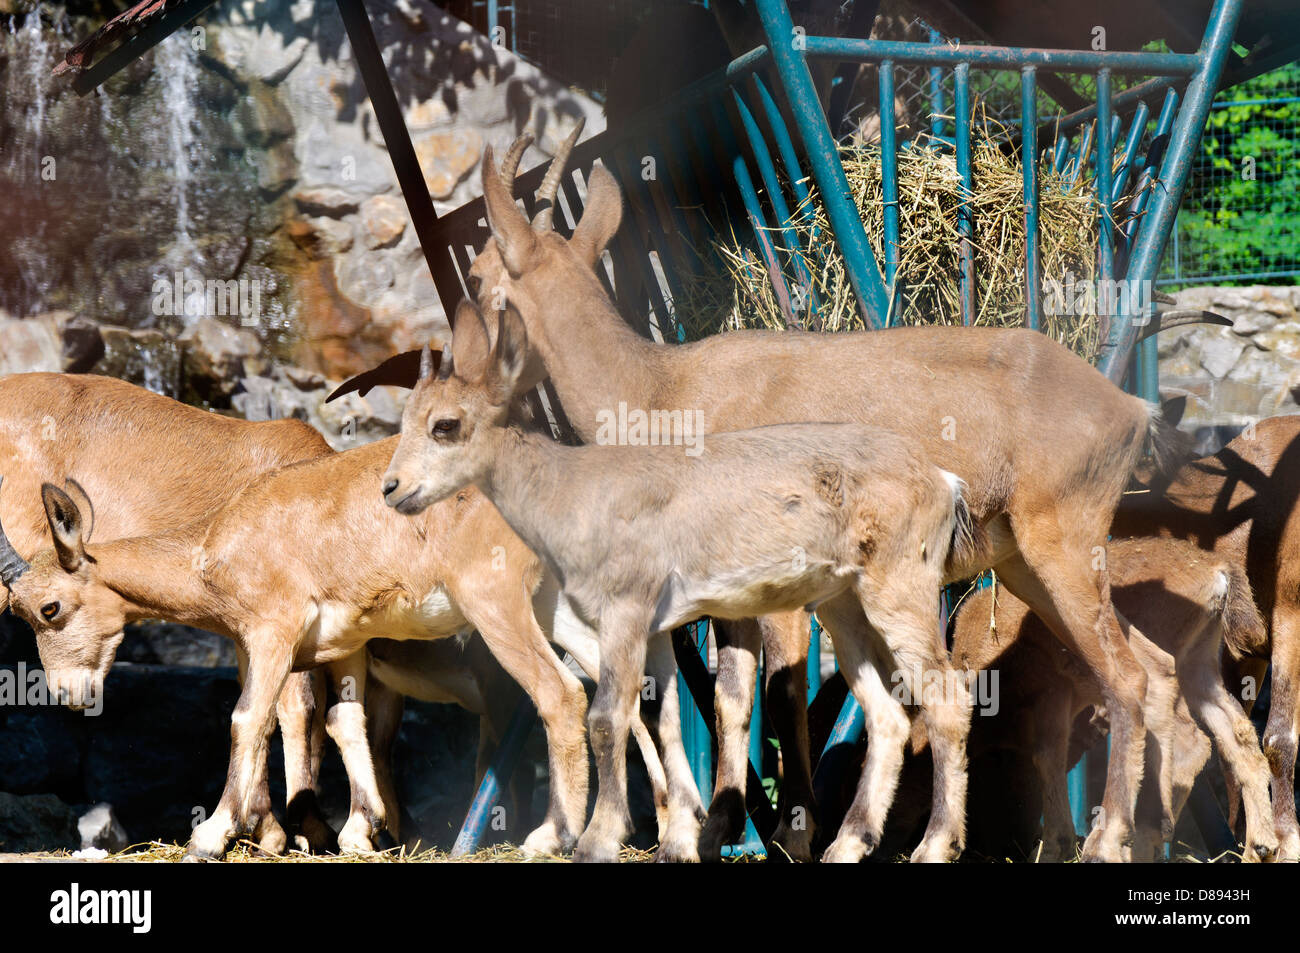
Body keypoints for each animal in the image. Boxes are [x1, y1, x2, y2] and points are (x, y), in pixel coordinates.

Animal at [382, 300, 980, 863]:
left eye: (445, 425)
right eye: (406, 419)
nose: (392, 488)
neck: (572, 492)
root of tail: (943, 481)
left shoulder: (626, 610)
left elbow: (607, 717)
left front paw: (598, 841)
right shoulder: (655, 629)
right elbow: (660, 718)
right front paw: (677, 842)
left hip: (898, 590)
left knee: (946, 695)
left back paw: (934, 844)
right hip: (844, 603)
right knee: (888, 715)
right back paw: (848, 844)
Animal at [950, 536, 1276, 862]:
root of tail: (1214, 567)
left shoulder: (1053, 694)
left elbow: (1047, 758)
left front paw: (1054, 847)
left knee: (1186, 741)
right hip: (1198, 669)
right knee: (1236, 736)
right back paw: (1259, 847)